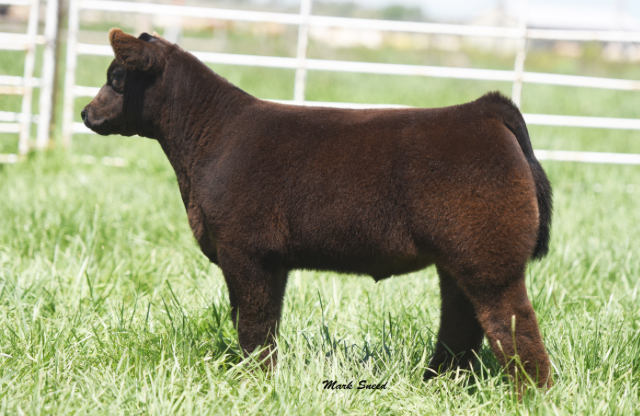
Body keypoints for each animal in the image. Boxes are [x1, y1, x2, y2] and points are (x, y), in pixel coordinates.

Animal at [82, 29, 553, 388]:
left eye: (117, 77)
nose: (86, 113)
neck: (211, 139)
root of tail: (483, 110)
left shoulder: (246, 252)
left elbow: (253, 324)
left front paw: (255, 383)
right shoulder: (269, 261)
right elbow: (258, 322)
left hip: (491, 265)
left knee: (514, 327)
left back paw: (530, 395)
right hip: (459, 264)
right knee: (462, 322)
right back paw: (437, 384)